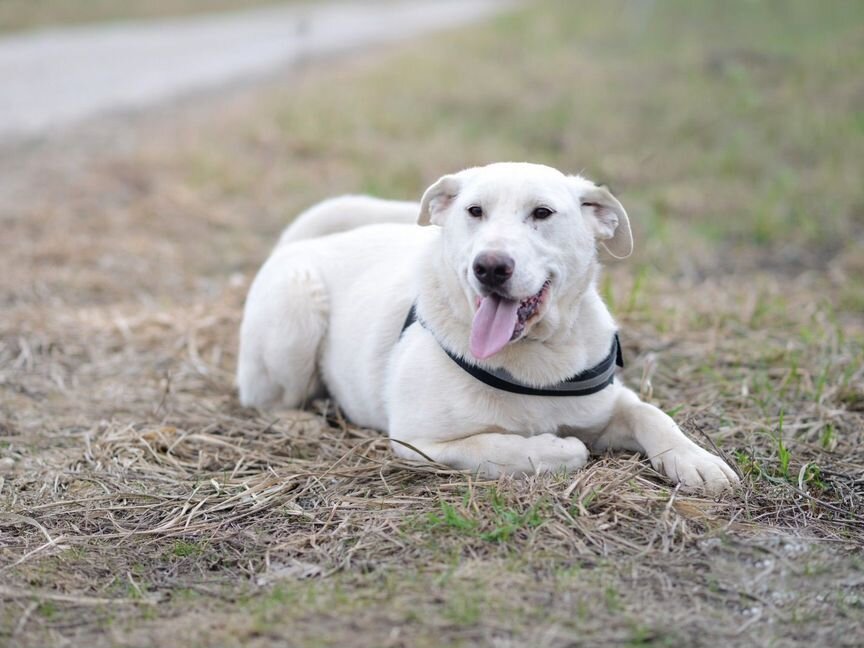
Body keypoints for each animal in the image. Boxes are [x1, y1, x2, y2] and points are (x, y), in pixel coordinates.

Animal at [236, 162, 736, 492]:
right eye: (474, 211)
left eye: (542, 213)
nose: (490, 266)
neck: (532, 354)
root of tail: (296, 244)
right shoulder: (421, 442)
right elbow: (503, 446)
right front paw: (559, 450)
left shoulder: (610, 403)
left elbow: (652, 414)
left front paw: (696, 460)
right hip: (297, 308)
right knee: (267, 401)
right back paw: (302, 421)